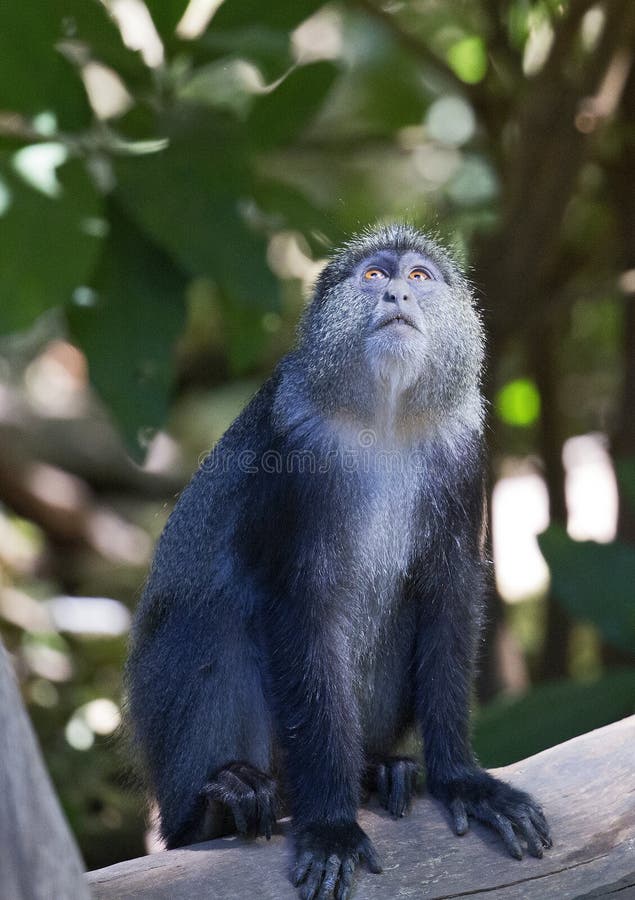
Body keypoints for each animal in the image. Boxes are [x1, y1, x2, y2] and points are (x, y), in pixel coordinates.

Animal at [125, 224, 551, 900]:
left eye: (420, 277)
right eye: (374, 276)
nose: (398, 293)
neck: (386, 419)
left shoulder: (462, 452)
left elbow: (448, 599)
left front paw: (463, 779)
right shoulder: (296, 453)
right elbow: (304, 612)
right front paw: (331, 827)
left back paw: (382, 771)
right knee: (216, 620)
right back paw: (218, 807)